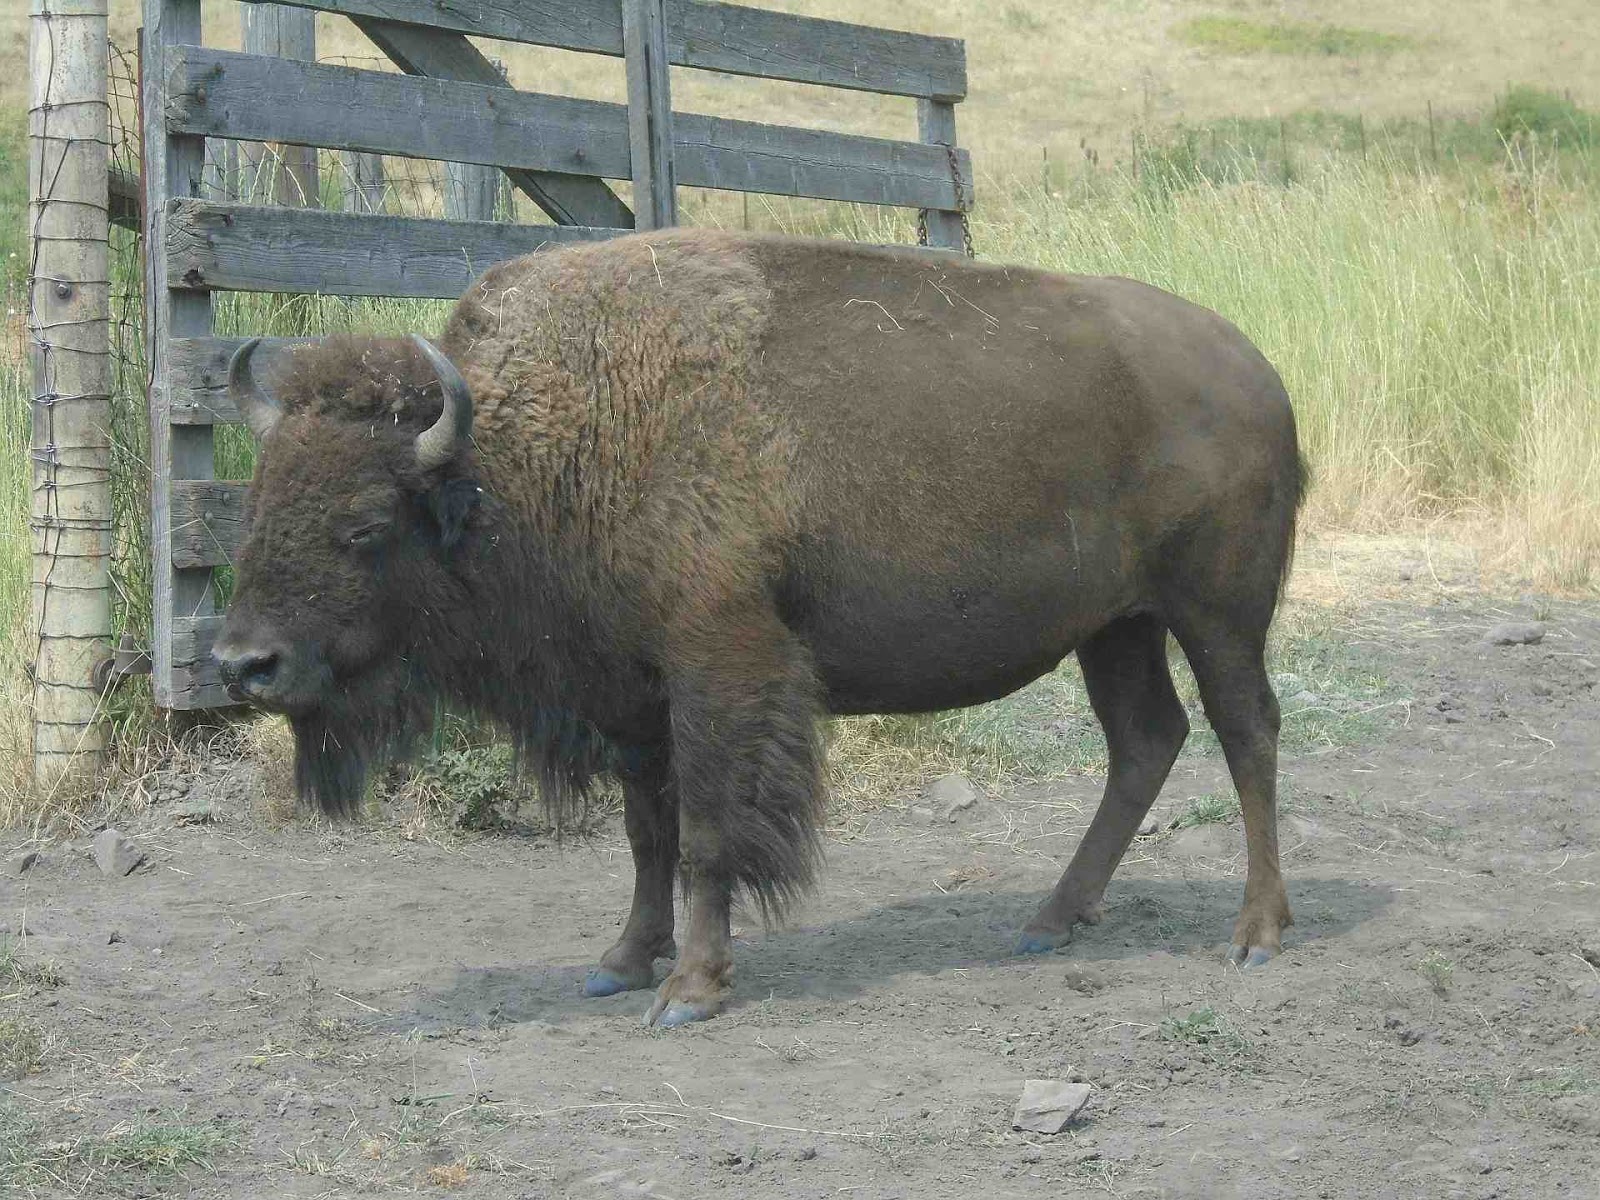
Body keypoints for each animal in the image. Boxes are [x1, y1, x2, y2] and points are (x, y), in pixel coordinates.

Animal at [214, 229, 1305, 1027]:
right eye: (257, 502)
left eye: (365, 524)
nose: (242, 664)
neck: (534, 451)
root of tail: (1257, 371)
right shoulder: (631, 694)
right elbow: (647, 833)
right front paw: (621, 960)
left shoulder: (719, 668)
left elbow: (706, 833)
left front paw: (690, 990)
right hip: (1114, 627)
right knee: (1145, 741)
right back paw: (1049, 920)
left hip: (1216, 613)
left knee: (1245, 731)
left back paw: (1255, 935)